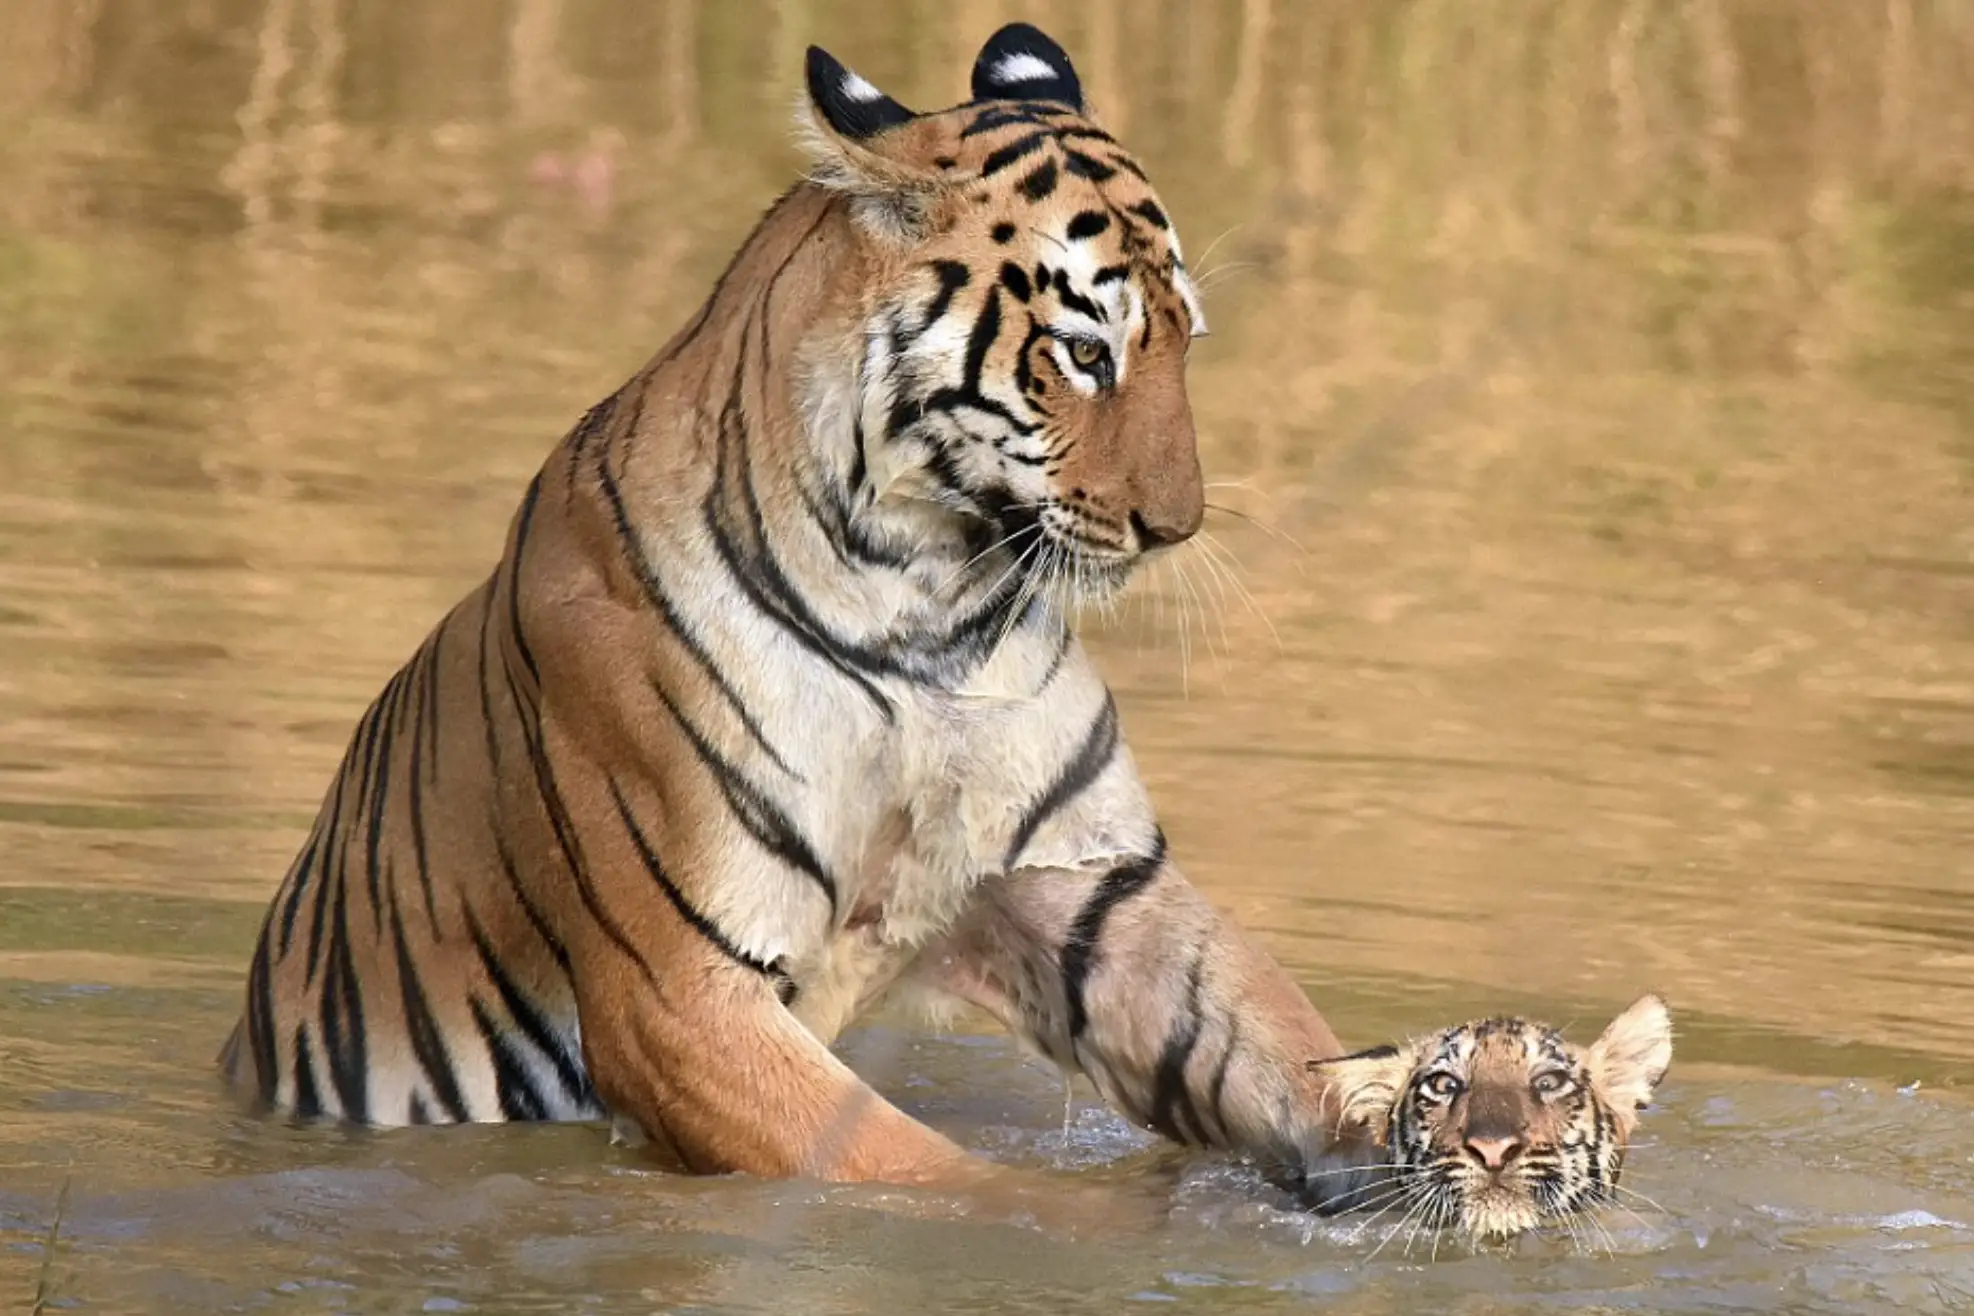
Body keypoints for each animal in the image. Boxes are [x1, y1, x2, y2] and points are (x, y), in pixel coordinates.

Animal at [220, 21, 1393, 1192]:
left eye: (1184, 343)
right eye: (1084, 350)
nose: (1175, 525)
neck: (931, 611)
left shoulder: (1091, 884)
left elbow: (1269, 1036)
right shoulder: (678, 993)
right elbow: (938, 1176)